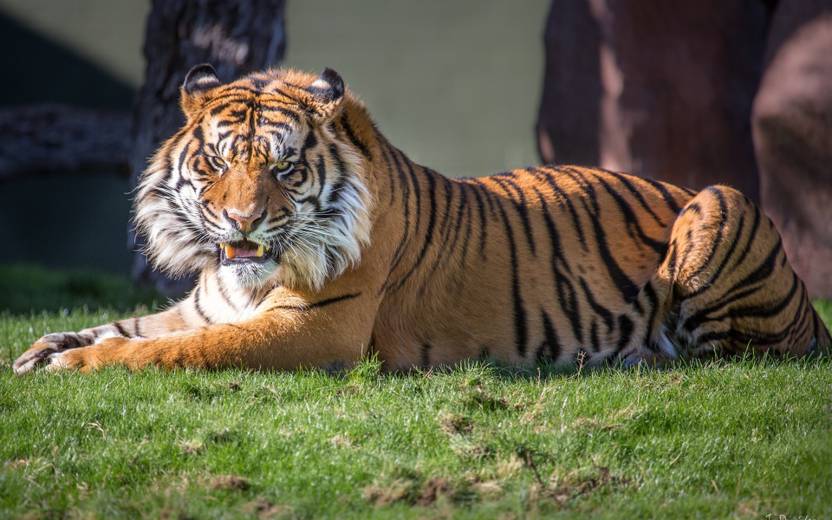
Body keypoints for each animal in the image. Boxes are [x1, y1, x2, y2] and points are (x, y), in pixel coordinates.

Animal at [12, 65, 831, 375]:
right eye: (215, 164)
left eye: (284, 168)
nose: (242, 223)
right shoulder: (204, 303)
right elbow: (130, 326)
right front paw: (44, 347)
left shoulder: (317, 329)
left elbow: (179, 351)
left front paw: (75, 364)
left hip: (719, 201)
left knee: (725, 354)